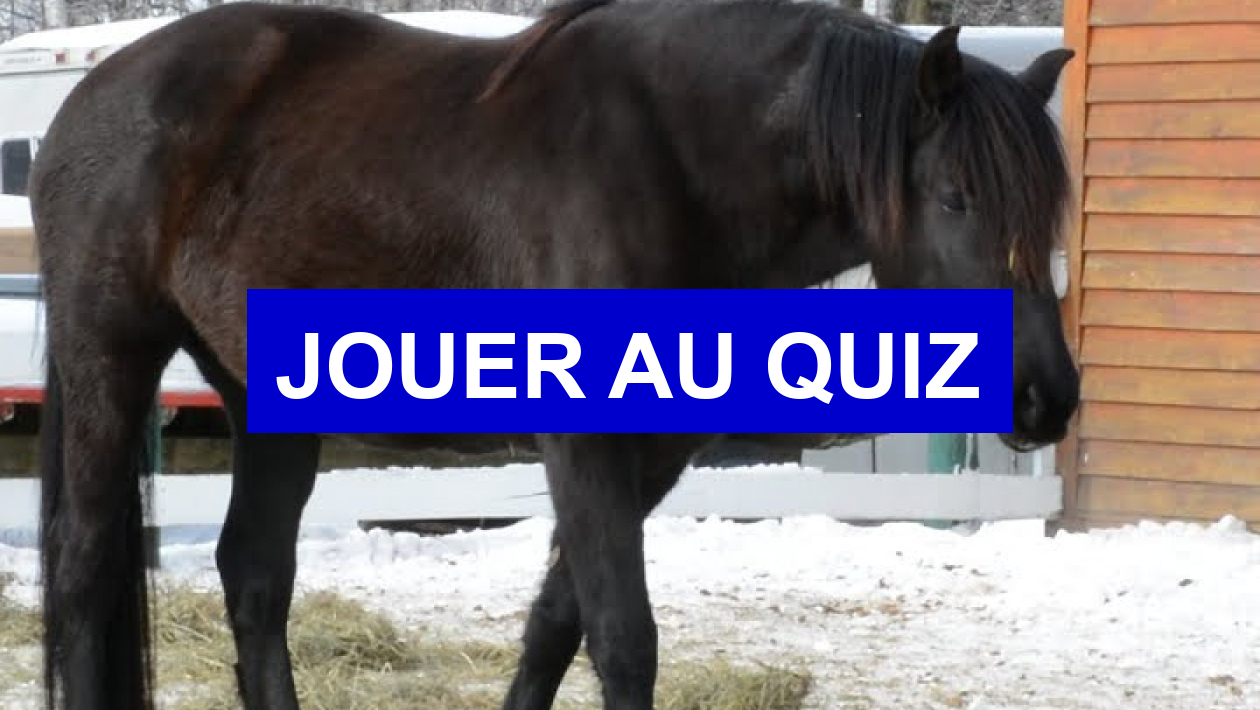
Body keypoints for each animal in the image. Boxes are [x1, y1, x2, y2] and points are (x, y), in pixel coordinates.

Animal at [27, 1, 1079, 708]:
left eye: (1049, 212)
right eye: (954, 197)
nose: (1046, 398)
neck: (674, 162)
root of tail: (92, 96)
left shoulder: (653, 450)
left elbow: (556, 627)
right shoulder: (584, 441)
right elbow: (623, 637)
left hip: (261, 395)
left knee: (253, 576)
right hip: (108, 359)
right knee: (82, 568)